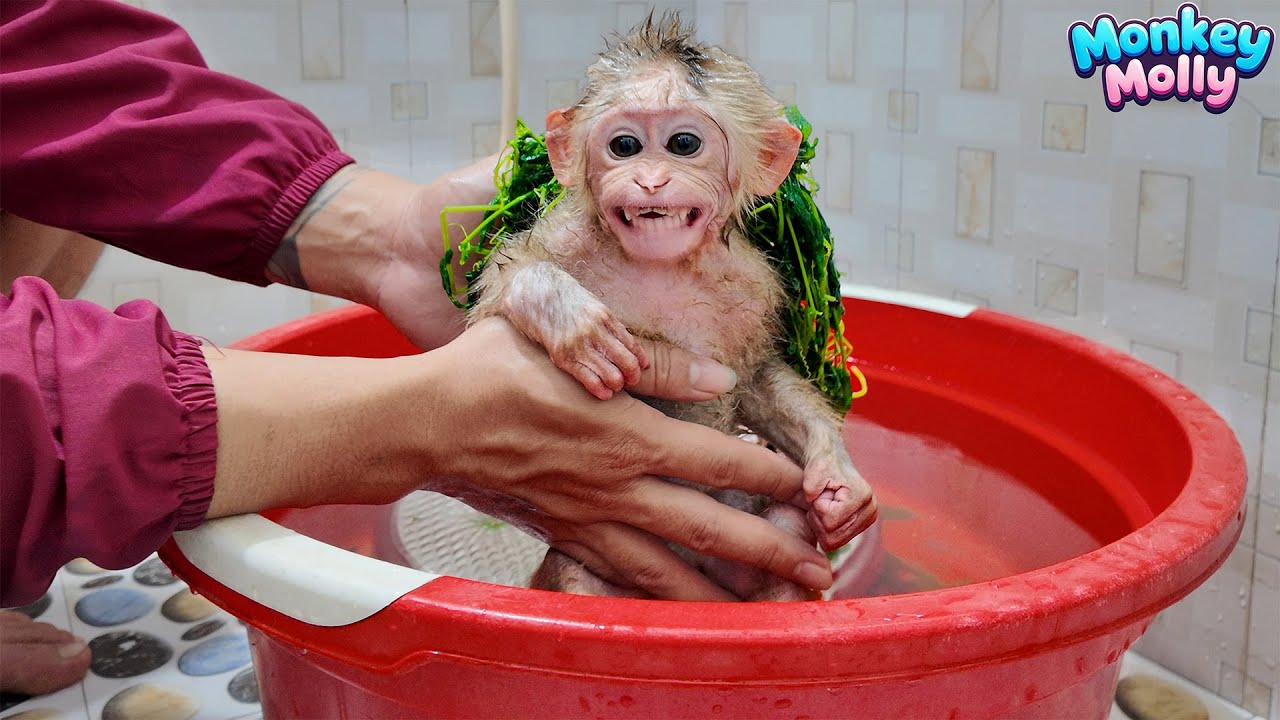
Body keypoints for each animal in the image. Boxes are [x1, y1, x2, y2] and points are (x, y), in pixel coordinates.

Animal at [470, 13, 877, 601]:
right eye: (624, 145)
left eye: (683, 142)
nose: (649, 180)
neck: (660, 267)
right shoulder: (565, 235)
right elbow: (500, 289)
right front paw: (573, 322)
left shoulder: (754, 285)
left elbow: (757, 381)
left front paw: (837, 472)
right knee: (574, 573)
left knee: (787, 525)